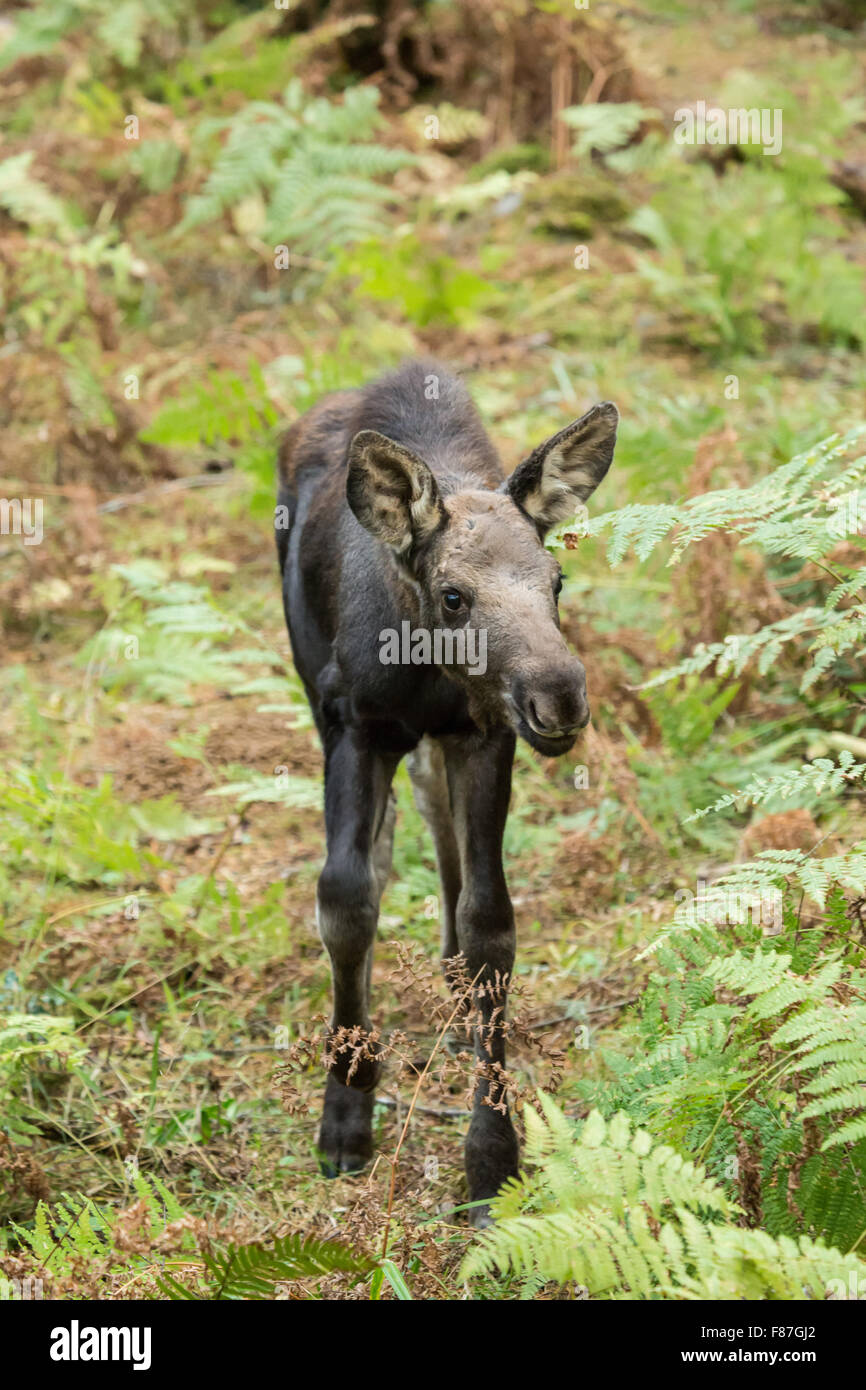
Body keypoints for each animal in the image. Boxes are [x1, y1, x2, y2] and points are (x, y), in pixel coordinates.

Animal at [275, 359, 618, 1224]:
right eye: (455, 595)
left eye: (556, 581)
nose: (559, 697)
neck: (422, 666)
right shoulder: (354, 726)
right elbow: (347, 900)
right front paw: (345, 1114)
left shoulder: (486, 734)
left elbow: (491, 920)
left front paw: (493, 1157)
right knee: (391, 845)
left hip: (448, 747)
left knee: (439, 825)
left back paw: (458, 996)